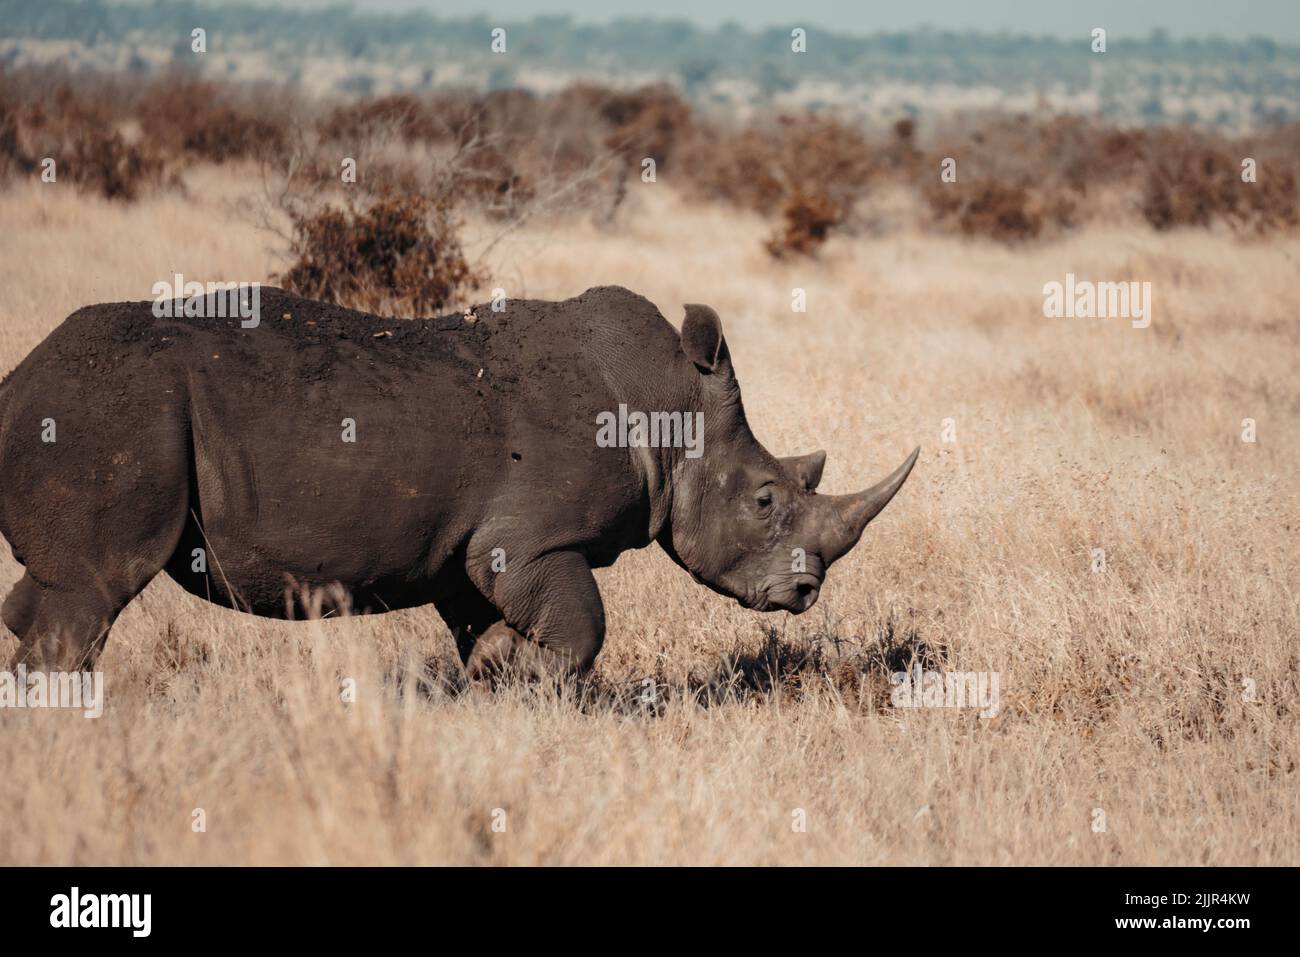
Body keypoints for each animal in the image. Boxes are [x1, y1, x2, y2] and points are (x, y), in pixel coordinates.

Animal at [0, 285, 917, 678]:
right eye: (765, 500)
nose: (803, 592)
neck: (669, 405)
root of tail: (18, 380)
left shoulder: (471, 548)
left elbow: (489, 631)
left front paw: (497, 680)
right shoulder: (533, 539)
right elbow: (582, 631)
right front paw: (534, 683)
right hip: (112, 414)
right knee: (89, 593)